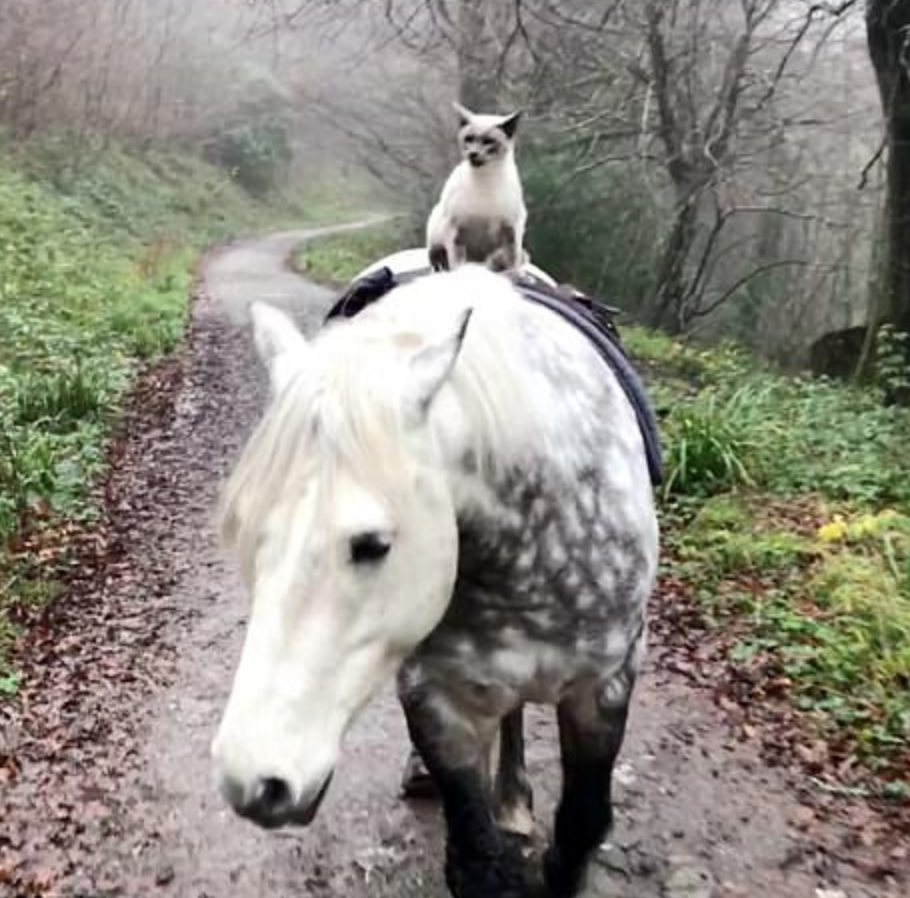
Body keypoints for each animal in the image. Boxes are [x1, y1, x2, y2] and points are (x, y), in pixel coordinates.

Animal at [211, 257, 660, 898]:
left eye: (373, 545)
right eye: (248, 535)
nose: (252, 781)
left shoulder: (605, 686)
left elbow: (579, 827)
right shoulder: (441, 702)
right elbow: (474, 858)